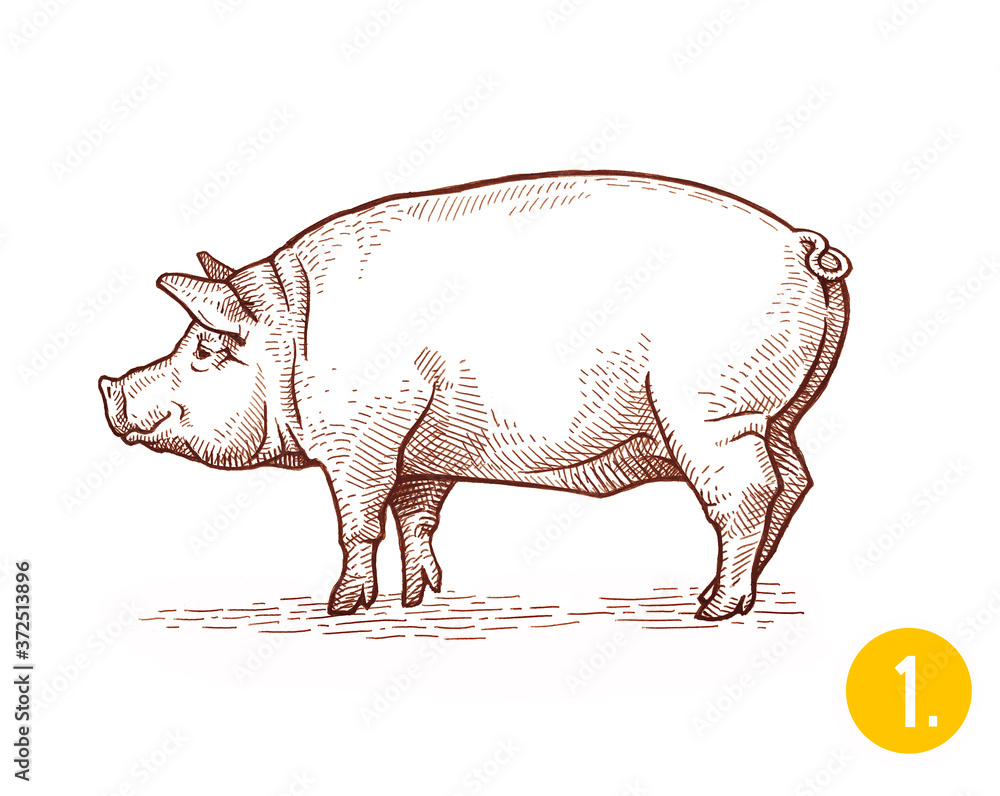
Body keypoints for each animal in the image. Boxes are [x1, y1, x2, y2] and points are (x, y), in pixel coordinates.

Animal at [99, 169, 850, 621]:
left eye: (205, 351)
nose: (107, 385)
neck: (293, 340)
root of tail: (803, 245)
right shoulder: (418, 449)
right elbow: (416, 516)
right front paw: (417, 598)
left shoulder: (361, 436)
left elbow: (359, 521)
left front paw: (343, 608)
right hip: (777, 412)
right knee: (795, 481)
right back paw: (731, 591)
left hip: (715, 410)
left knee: (748, 492)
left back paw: (713, 609)